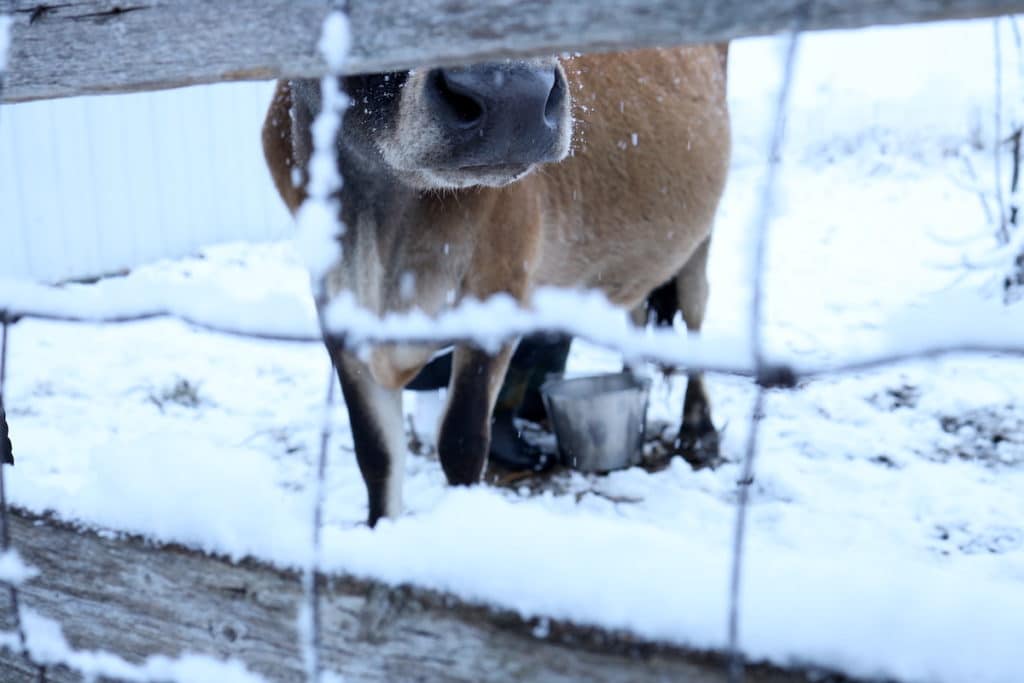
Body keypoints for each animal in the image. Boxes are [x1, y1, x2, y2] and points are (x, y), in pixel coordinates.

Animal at [262, 45, 731, 526]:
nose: (514, 97)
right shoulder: (338, 309)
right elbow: (375, 454)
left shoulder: (496, 289)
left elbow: (461, 441)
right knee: (636, 307)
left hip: (700, 232)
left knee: (695, 309)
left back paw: (698, 429)